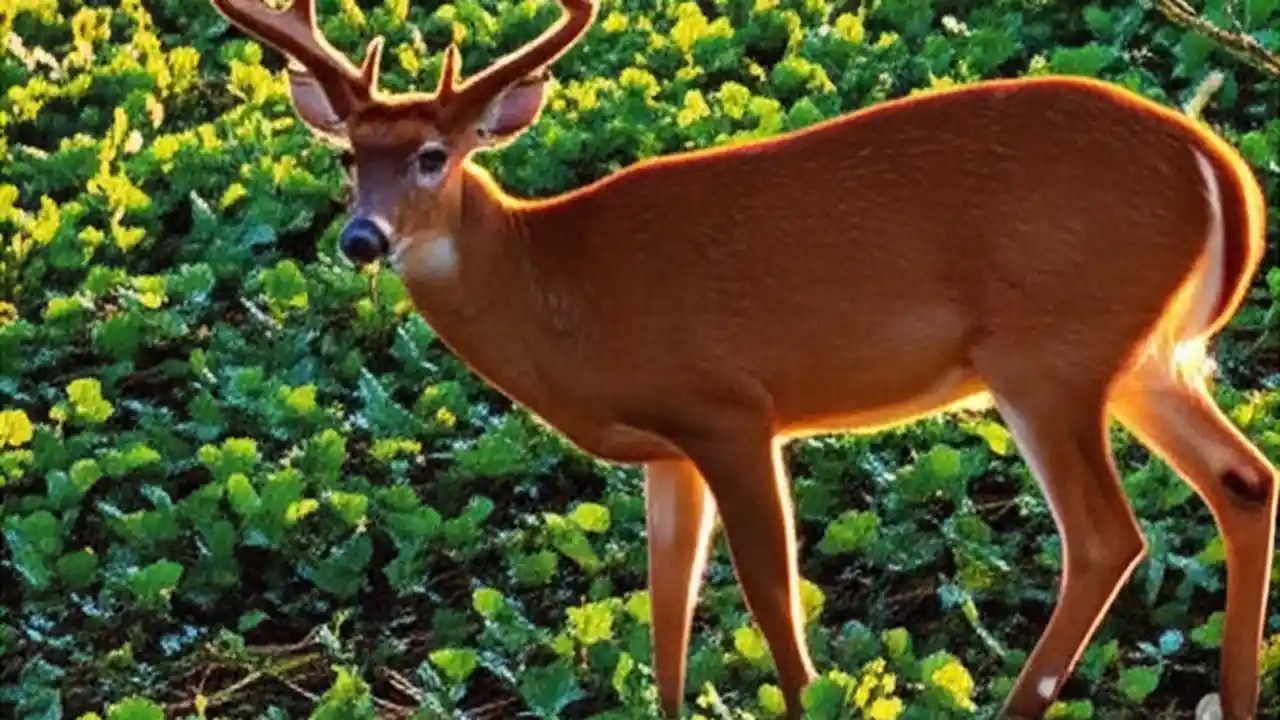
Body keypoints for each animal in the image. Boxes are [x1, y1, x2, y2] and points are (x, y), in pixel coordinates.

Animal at [206, 0, 1275, 717]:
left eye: (435, 155)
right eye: (350, 157)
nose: (362, 239)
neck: (560, 290)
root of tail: (1218, 168)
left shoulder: (730, 408)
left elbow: (771, 598)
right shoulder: (666, 449)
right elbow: (666, 610)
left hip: (1048, 353)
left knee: (1106, 535)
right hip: (1143, 358)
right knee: (1245, 478)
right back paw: (1236, 692)